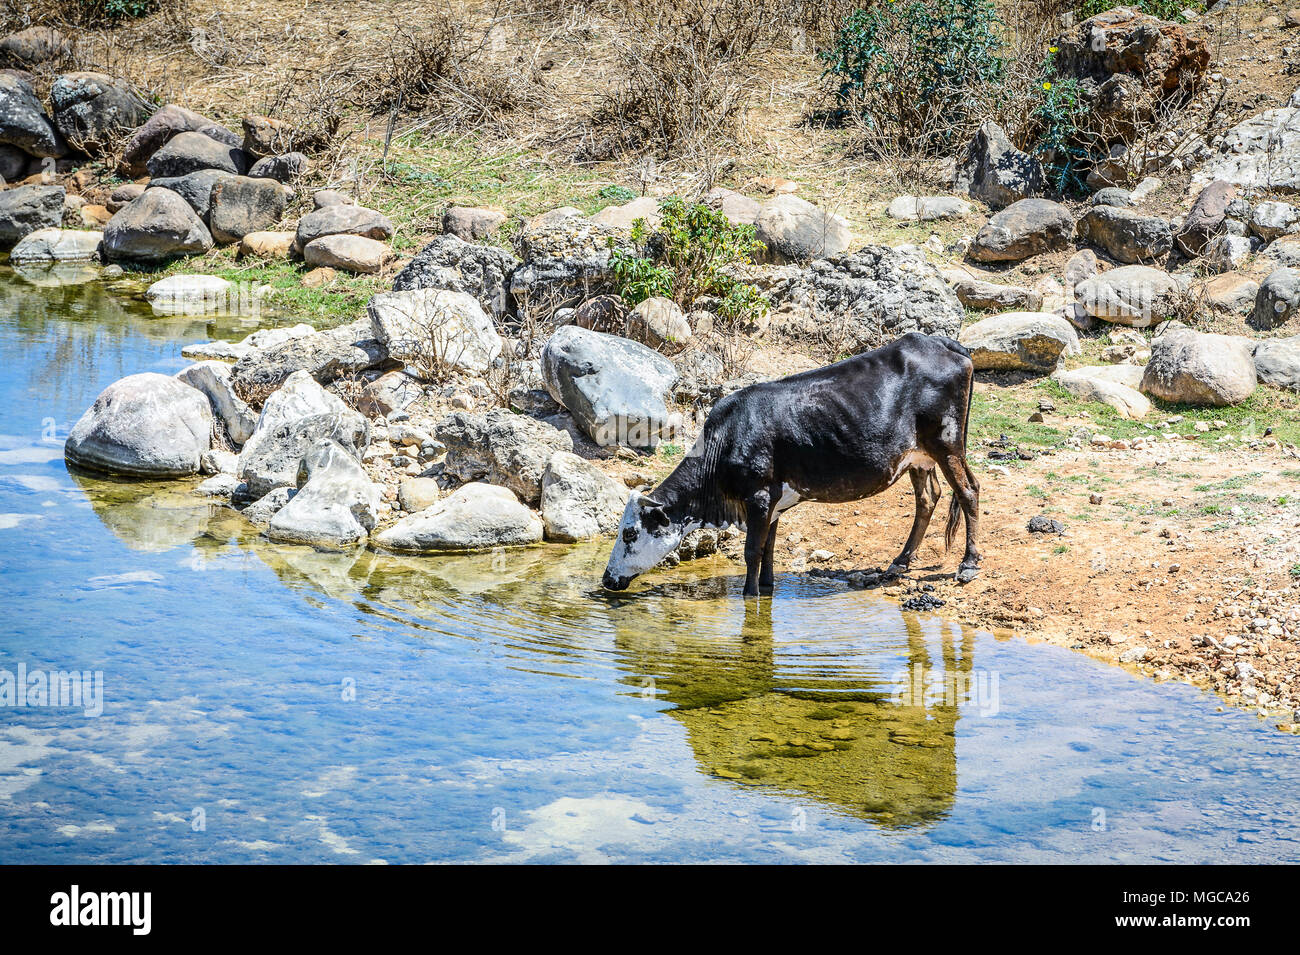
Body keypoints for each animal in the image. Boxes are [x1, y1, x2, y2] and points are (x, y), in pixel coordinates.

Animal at [601, 332, 980, 597]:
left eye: (630, 533)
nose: (606, 579)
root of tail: (941, 342)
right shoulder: (774, 502)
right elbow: (768, 548)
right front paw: (767, 587)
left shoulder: (757, 496)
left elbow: (752, 551)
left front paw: (750, 594)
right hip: (918, 457)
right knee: (928, 498)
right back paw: (899, 563)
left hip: (947, 443)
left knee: (968, 491)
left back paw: (968, 564)